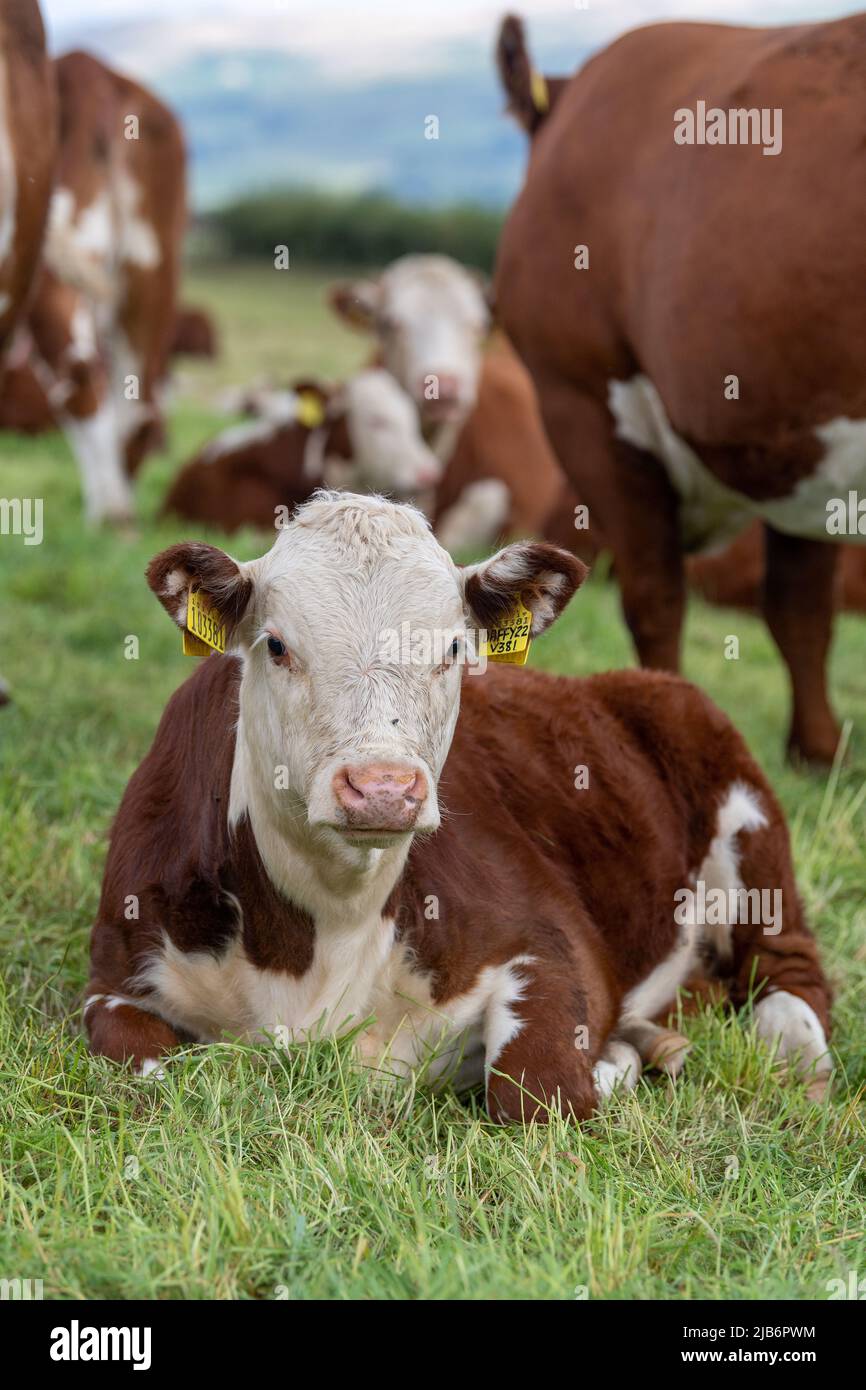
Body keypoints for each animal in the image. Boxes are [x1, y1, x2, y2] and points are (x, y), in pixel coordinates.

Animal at [85, 493, 832, 1121]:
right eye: (276, 645)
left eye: (450, 648)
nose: (383, 787)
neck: (324, 934)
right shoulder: (113, 979)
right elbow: (148, 1078)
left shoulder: (549, 940)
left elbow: (536, 1092)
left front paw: (599, 1065)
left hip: (751, 836)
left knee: (789, 976)